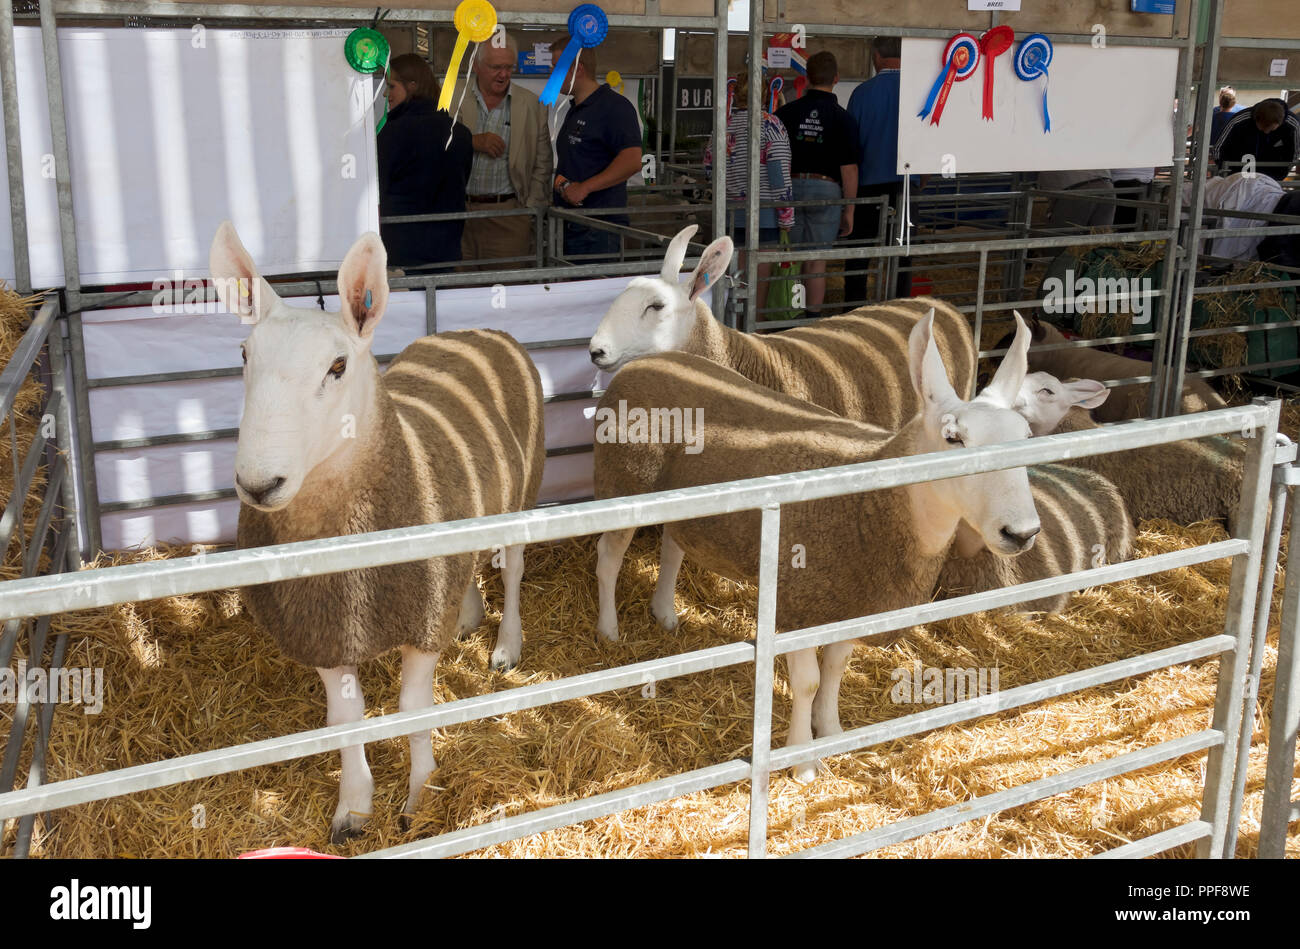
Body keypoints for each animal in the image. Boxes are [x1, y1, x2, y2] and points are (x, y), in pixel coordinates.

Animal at [210, 223, 546, 842]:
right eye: (244, 354)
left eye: (338, 366)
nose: (259, 484)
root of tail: (477, 328)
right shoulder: (322, 627)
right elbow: (345, 721)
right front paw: (353, 808)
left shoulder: (420, 619)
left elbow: (414, 711)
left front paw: (421, 797)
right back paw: (468, 615)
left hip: (525, 489)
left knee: (512, 568)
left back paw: (506, 645)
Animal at [595, 310, 1040, 774]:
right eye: (954, 439)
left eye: (1027, 437)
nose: (1021, 533)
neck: (870, 507)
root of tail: (645, 362)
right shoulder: (799, 603)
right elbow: (808, 683)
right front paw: (802, 763)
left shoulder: (851, 602)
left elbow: (836, 669)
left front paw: (831, 733)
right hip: (624, 480)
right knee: (609, 556)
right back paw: (609, 629)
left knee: (673, 543)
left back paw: (664, 612)